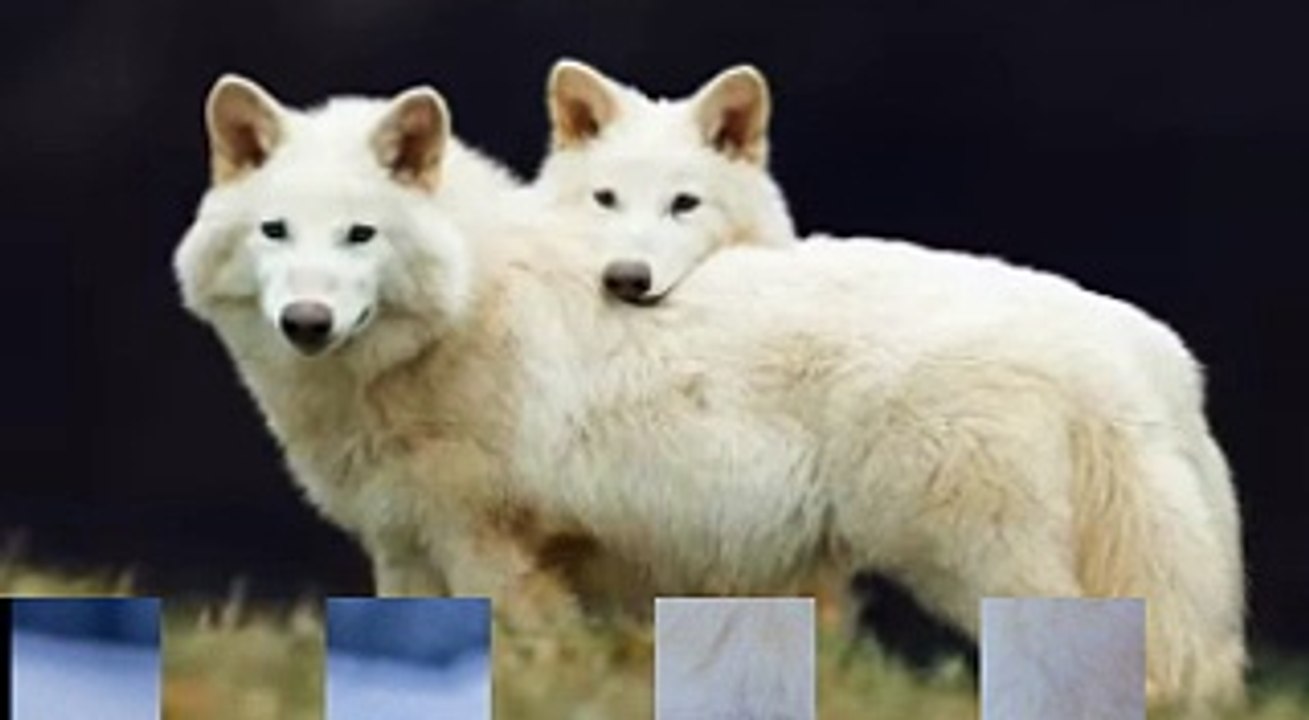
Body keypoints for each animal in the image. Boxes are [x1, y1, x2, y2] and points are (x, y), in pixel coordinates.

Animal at [174, 73, 1245, 714]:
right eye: (276, 231)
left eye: (360, 235)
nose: (307, 321)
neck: (466, 305)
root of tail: (1126, 341)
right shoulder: (404, 552)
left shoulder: (494, 552)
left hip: (976, 567)